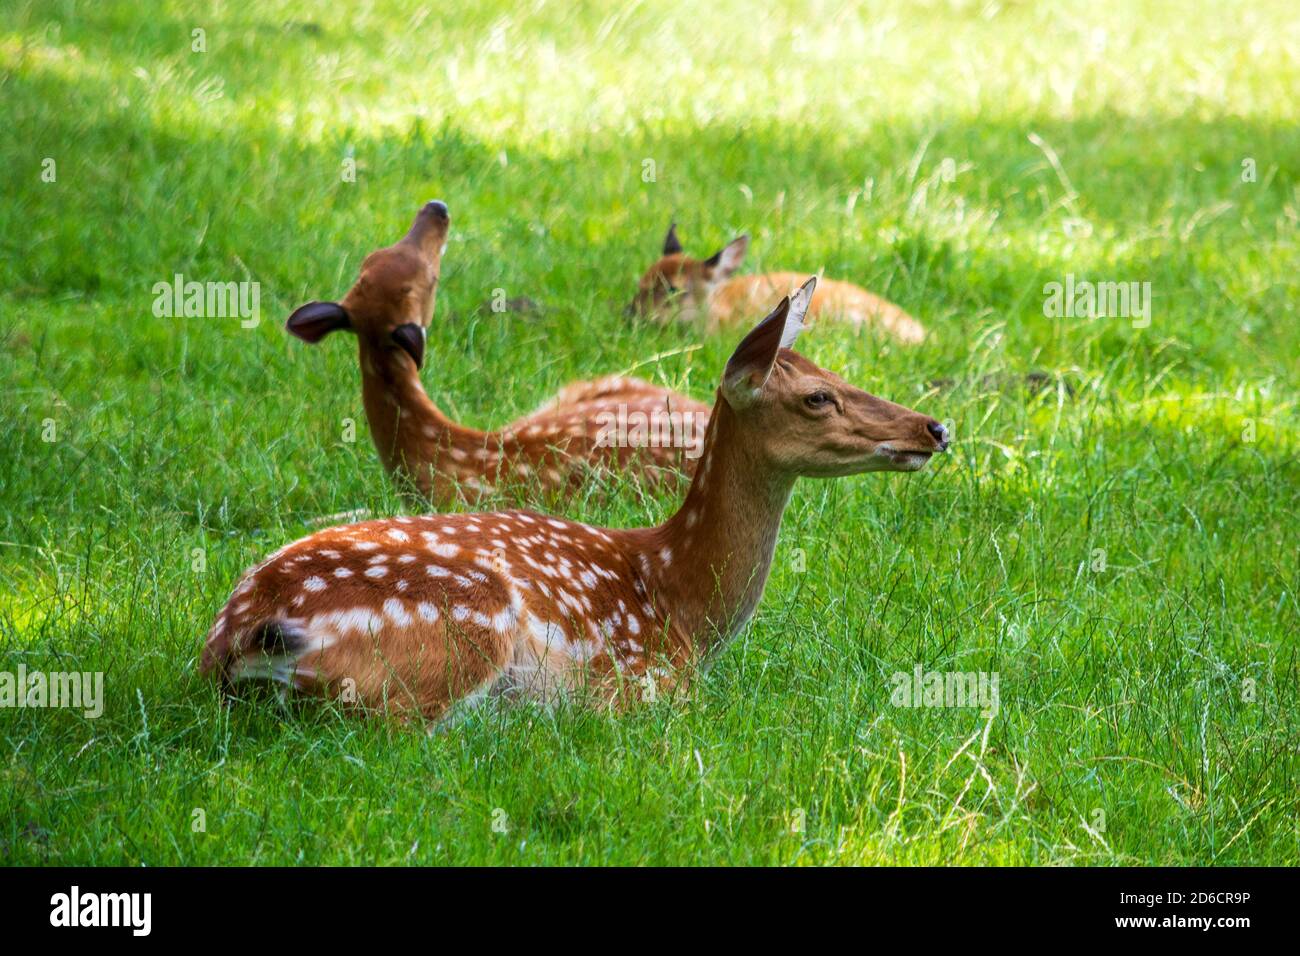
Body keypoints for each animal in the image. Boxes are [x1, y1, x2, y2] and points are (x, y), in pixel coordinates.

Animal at [200, 277, 950, 725]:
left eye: (839, 373)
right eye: (817, 397)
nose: (933, 428)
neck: (682, 603)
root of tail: (232, 643)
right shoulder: (645, 683)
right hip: (463, 629)